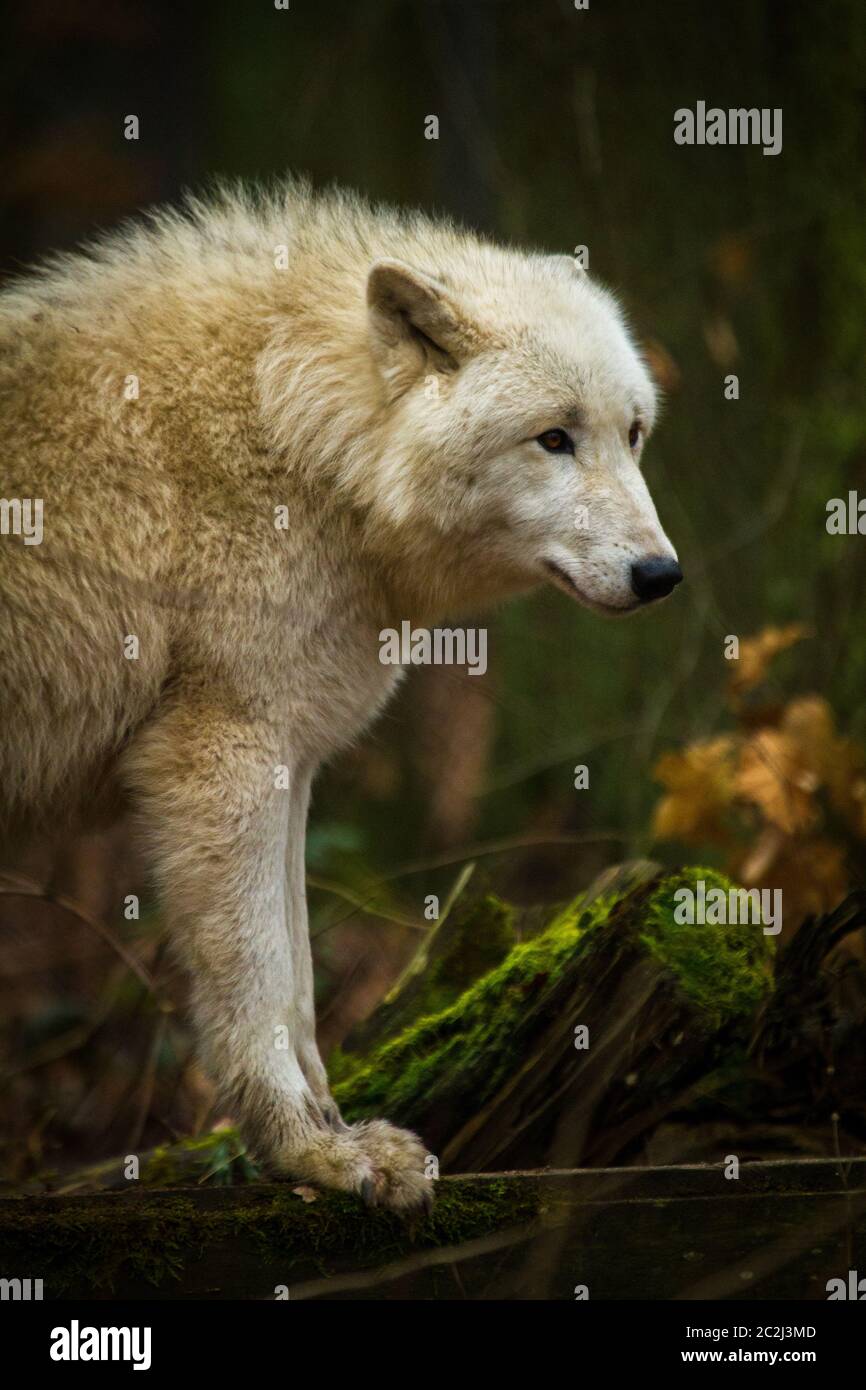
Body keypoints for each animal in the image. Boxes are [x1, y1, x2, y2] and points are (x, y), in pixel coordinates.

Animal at [0, 178, 681, 1210]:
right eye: (554, 439)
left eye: (631, 435)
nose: (660, 573)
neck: (302, 434)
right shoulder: (222, 754)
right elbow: (255, 977)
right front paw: (310, 1155)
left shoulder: (288, 761)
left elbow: (299, 982)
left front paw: (334, 1133)